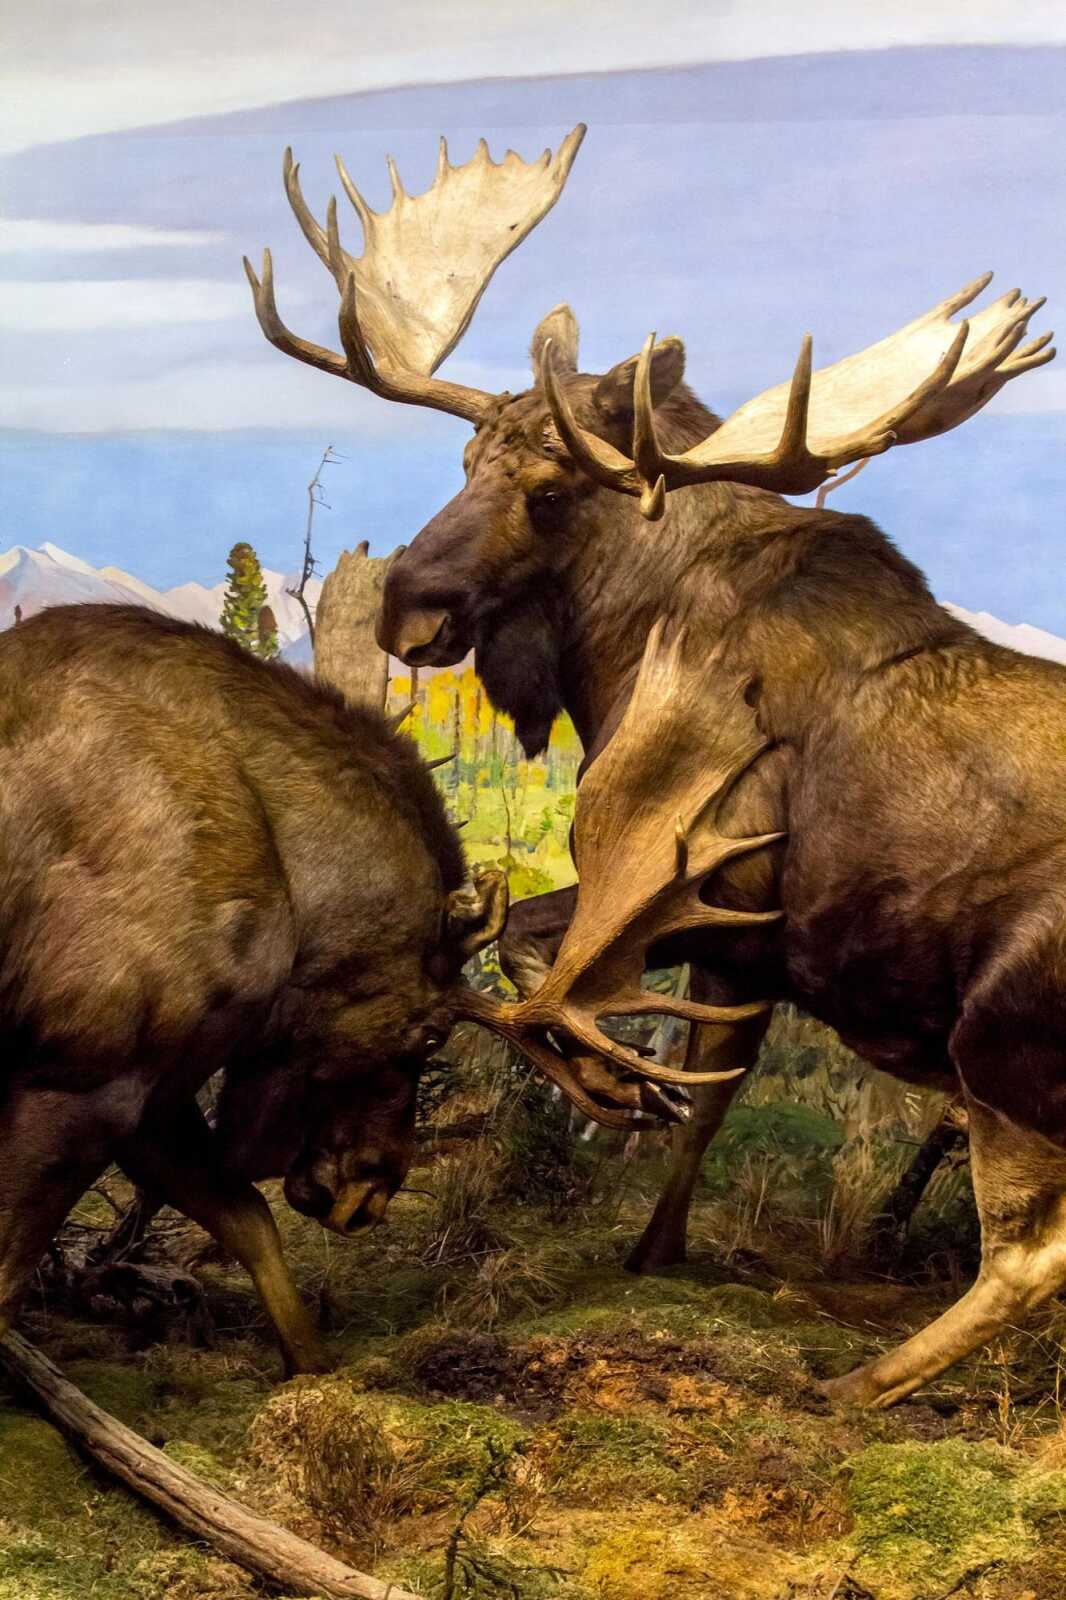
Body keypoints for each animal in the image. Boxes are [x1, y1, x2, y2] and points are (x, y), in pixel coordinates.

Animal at [0, 602, 699, 1376]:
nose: (371, 1194)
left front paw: (312, 1364)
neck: (301, 902)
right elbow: (9, 1281)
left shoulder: (151, 1088)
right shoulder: (83, 1073)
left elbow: (249, 1221)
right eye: (431, 1033)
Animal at [244, 126, 1065, 1408]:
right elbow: (705, 1100)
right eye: (464, 452)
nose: (406, 605)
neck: (618, 645)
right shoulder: (741, 946)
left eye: (546, 490)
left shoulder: (708, 886)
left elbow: (549, 965)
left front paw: (606, 1100)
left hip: (1004, 1038)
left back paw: (856, 1387)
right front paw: (651, 1237)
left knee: (1027, 1249)